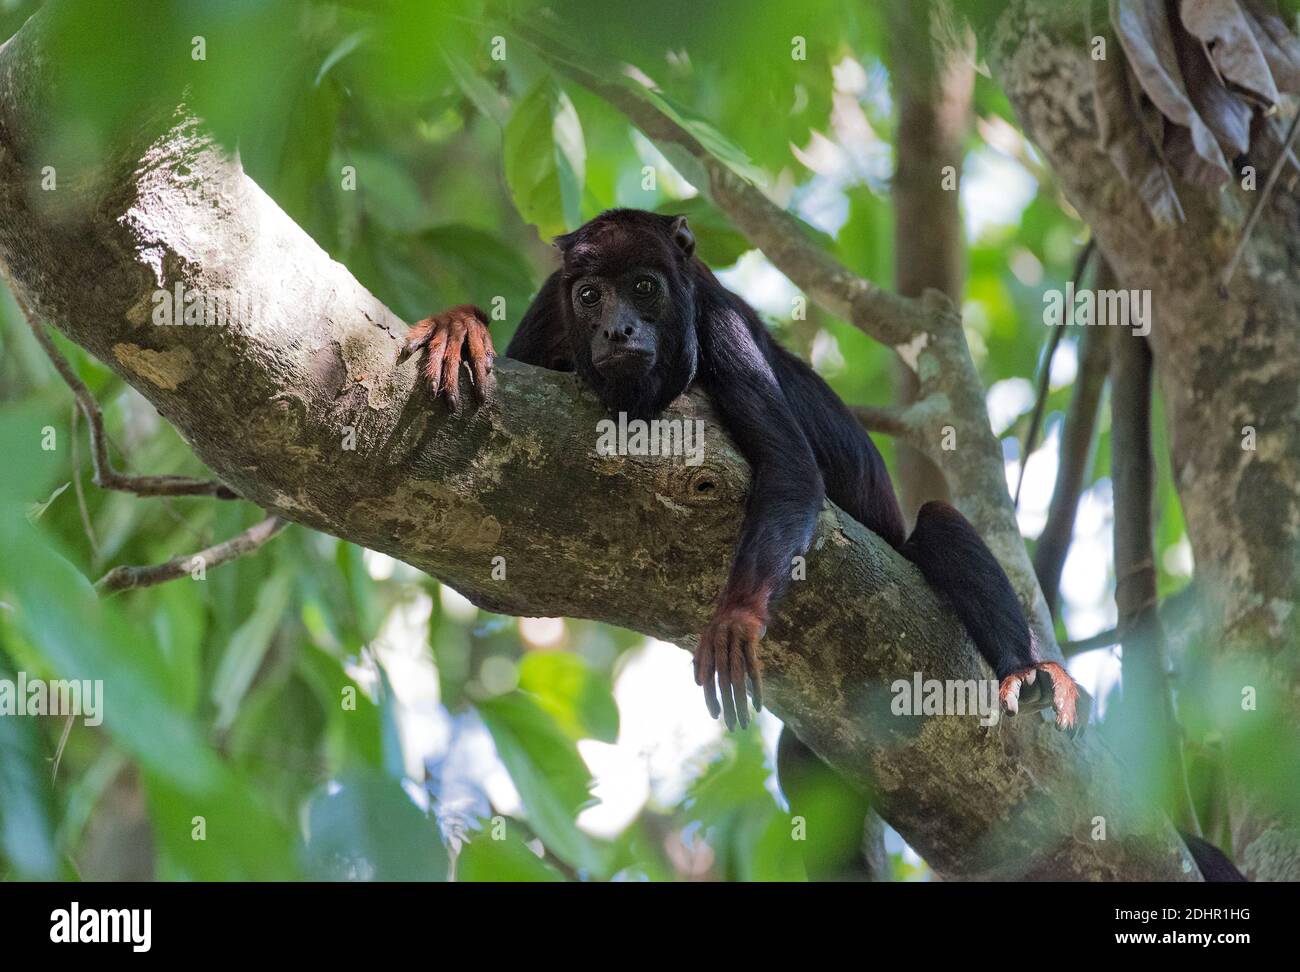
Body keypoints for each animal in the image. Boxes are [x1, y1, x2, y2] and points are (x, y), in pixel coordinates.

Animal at [398, 208, 1083, 735]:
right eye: (589, 295)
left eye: (644, 287)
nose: (618, 329)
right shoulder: (550, 304)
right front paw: (460, 324)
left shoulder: (720, 325)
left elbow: (791, 470)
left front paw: (736, 618)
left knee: (937, 524)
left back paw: (1030, 670)